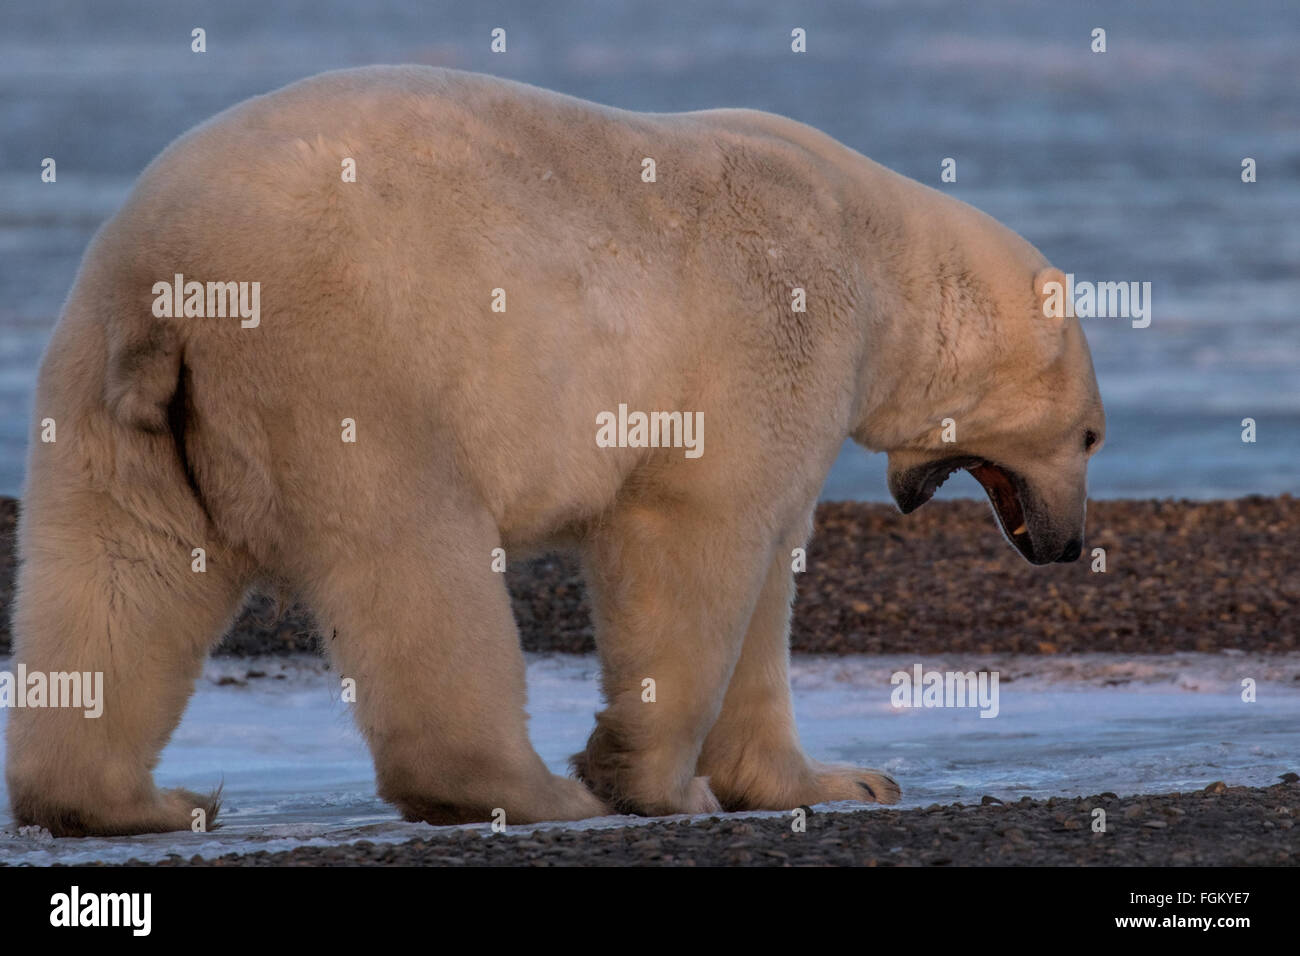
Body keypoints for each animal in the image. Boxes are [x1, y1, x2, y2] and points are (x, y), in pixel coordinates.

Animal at [5, 66, 1104, 835]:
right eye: (1091, 434)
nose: (1065, 543)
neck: (872, 251)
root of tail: (169, 283)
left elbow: (767, 579)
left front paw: (842, 778)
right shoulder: (769, 329)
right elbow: (697, 535)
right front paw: (650, 783)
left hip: (108, 393)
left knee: (118, 577)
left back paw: (132, 800)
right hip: (348, 365)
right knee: (421, 566)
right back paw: (526, 790)